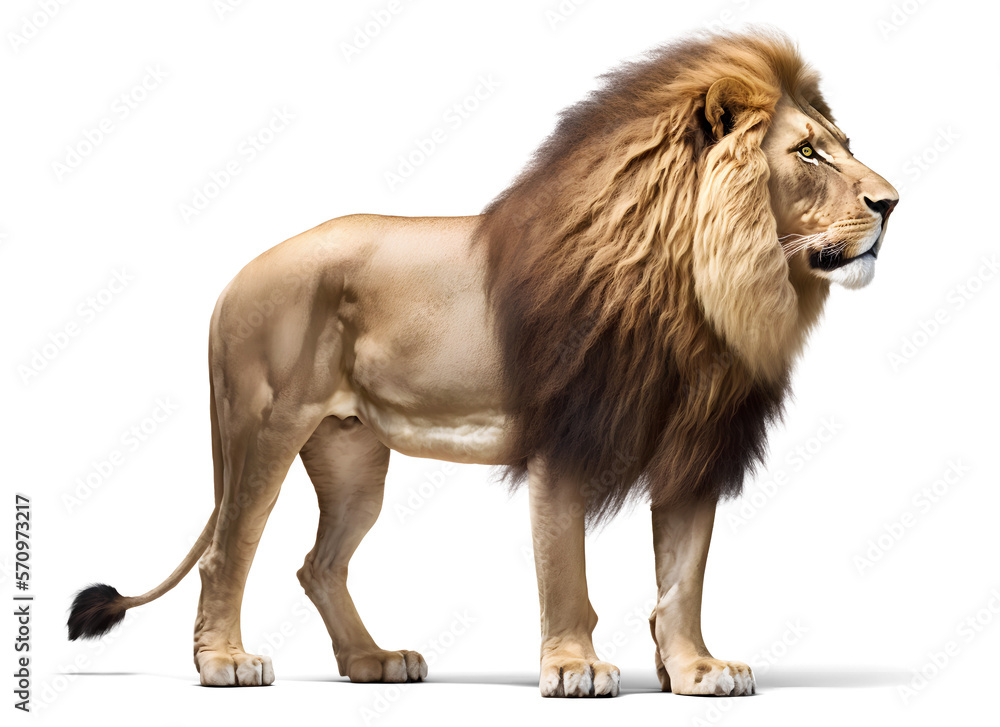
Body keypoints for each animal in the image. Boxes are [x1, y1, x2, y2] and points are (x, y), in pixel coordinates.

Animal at [68, 30, 897, 697]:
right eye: (807, 151)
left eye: (842, 141)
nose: (892, 202)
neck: (696, 286)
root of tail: (234, 277)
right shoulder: (566, 440)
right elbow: (565, 571)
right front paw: (574, 668)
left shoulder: (692, 448)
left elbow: (682, 579)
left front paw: (696, 671)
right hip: (262, 428)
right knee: (225, 552)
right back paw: (226, 663)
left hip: (353, 458)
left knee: (319, 562)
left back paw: (373, 660)